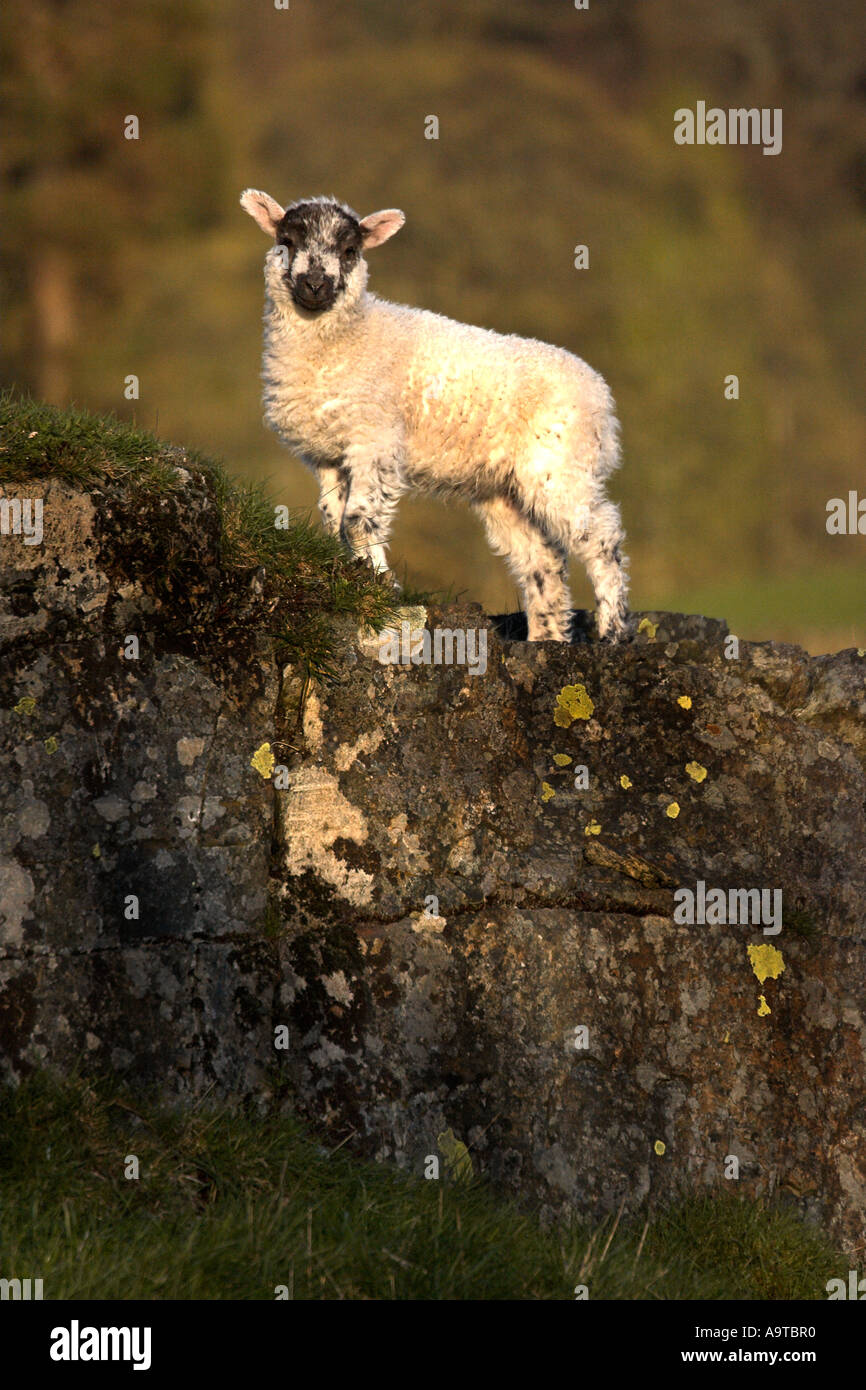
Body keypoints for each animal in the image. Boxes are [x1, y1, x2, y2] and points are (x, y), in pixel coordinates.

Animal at [240, 189, 629, 642]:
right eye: (286, 241)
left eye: (351, 250)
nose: (315, 285)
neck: (341, 342)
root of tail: (600, 394)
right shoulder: (329, 453)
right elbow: (334, 519)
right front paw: (357, 578)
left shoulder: (375, 439)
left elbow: (358, 520)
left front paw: (380, 585)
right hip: (506, 489)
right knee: (543, 560)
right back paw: (546, 639)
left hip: (560, 465)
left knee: (601, 535)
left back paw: (612, 630)